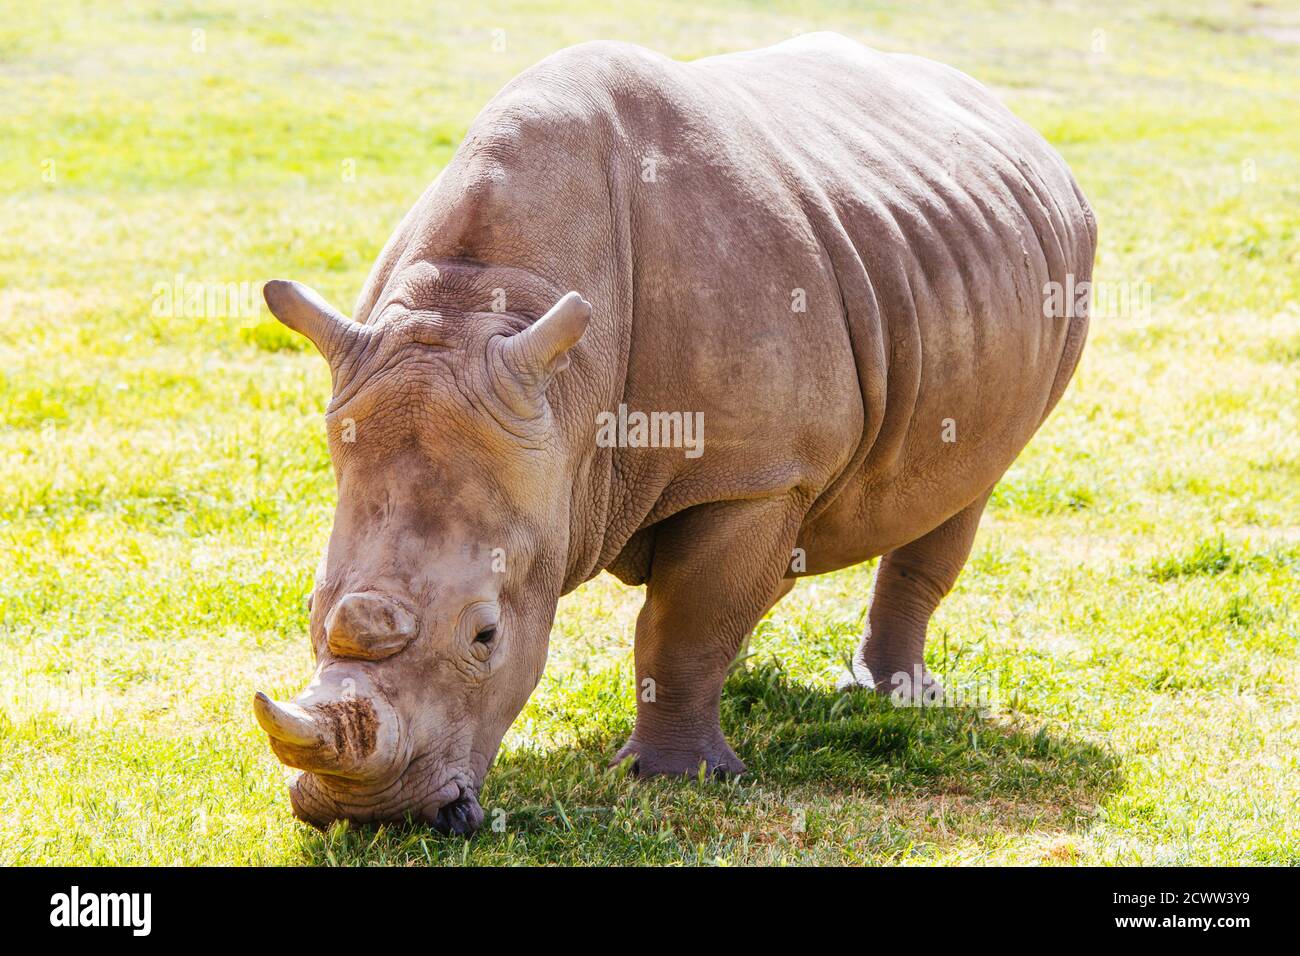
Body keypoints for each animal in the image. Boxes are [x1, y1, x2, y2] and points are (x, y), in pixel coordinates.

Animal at [254, 33, 1095, 834]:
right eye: (310, 609)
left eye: (486, 635)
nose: (368, 814)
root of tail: (1019, 126)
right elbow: (705, 602)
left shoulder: (754, 474)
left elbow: (682, 622)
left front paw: (675, 777)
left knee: (965, 489)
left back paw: (891, 699)